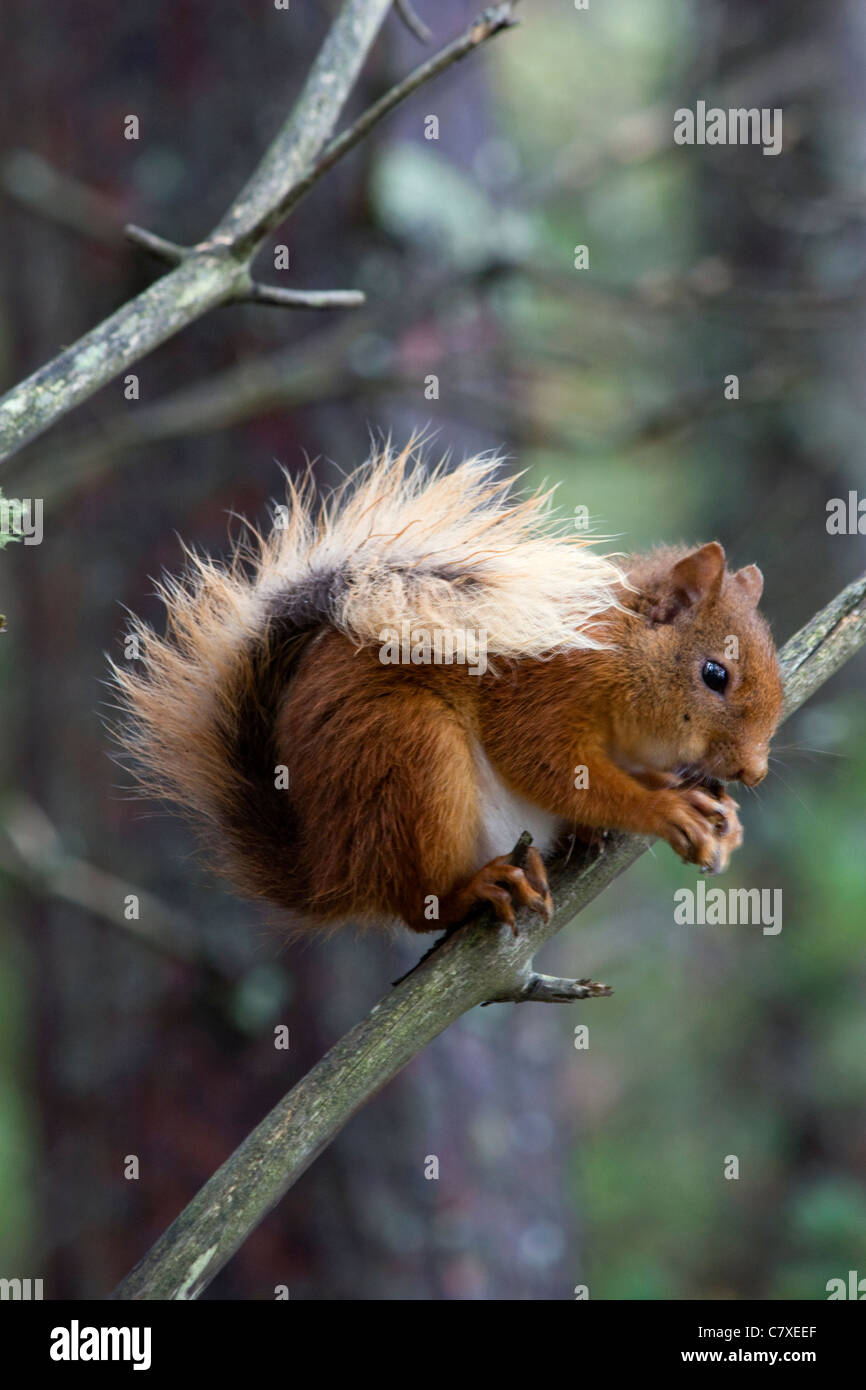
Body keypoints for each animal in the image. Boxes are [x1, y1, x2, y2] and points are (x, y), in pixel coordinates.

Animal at [112, 442, 783, 936]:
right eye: (715, 675)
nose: (754, 772)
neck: (617, 650)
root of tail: (332, 873)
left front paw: (712, 811)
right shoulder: (546, 690)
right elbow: (546, 764)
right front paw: (664, 809)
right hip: (409, 754)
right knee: (419, 908)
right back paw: (477, 889)